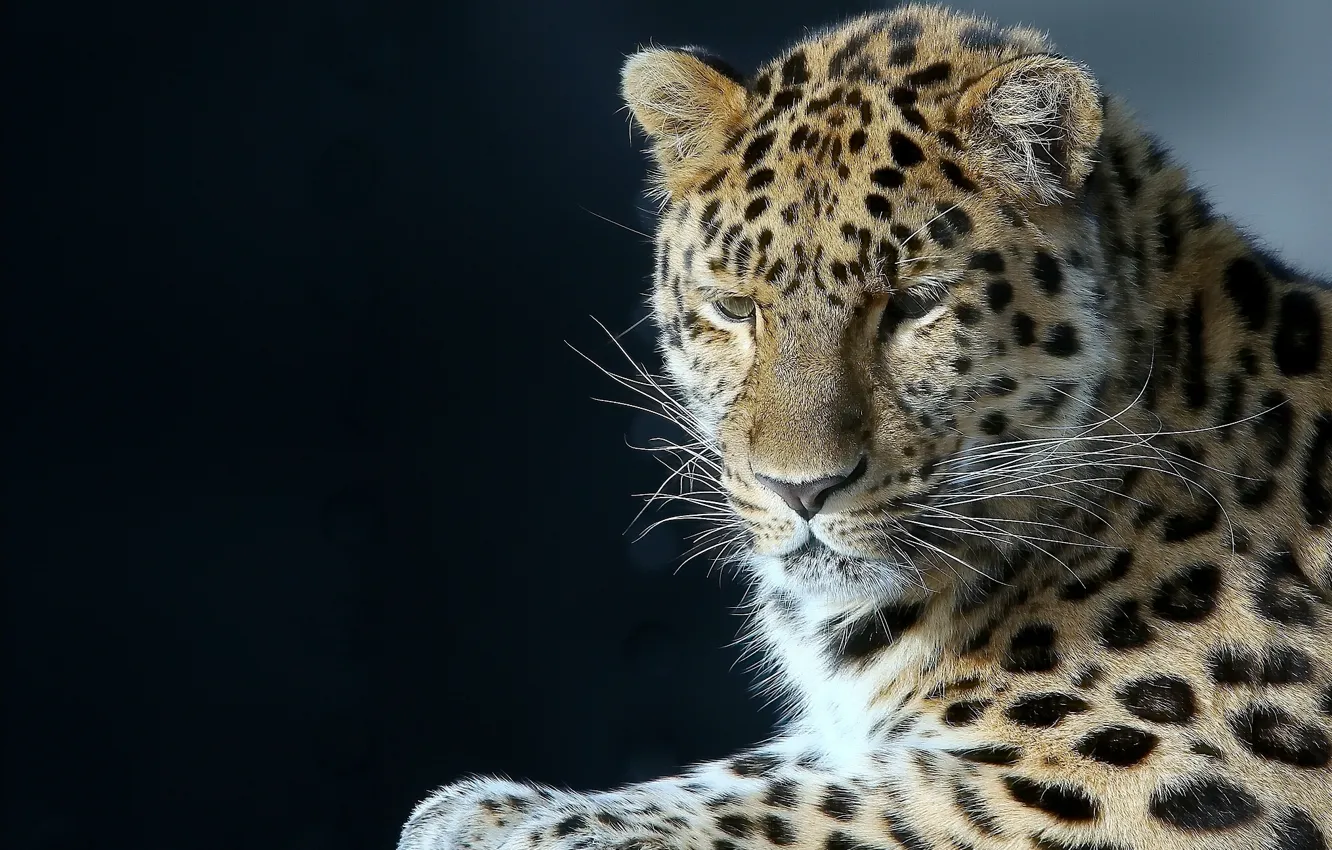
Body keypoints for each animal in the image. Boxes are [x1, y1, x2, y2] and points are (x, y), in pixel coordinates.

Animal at [400, 5, 1332, 849]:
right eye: (734, 308)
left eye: (913, 305)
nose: (800, 491)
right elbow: (765, 767)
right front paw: (482, 806)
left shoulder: (1149, 783)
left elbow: (802, 805)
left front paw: (513, 821)